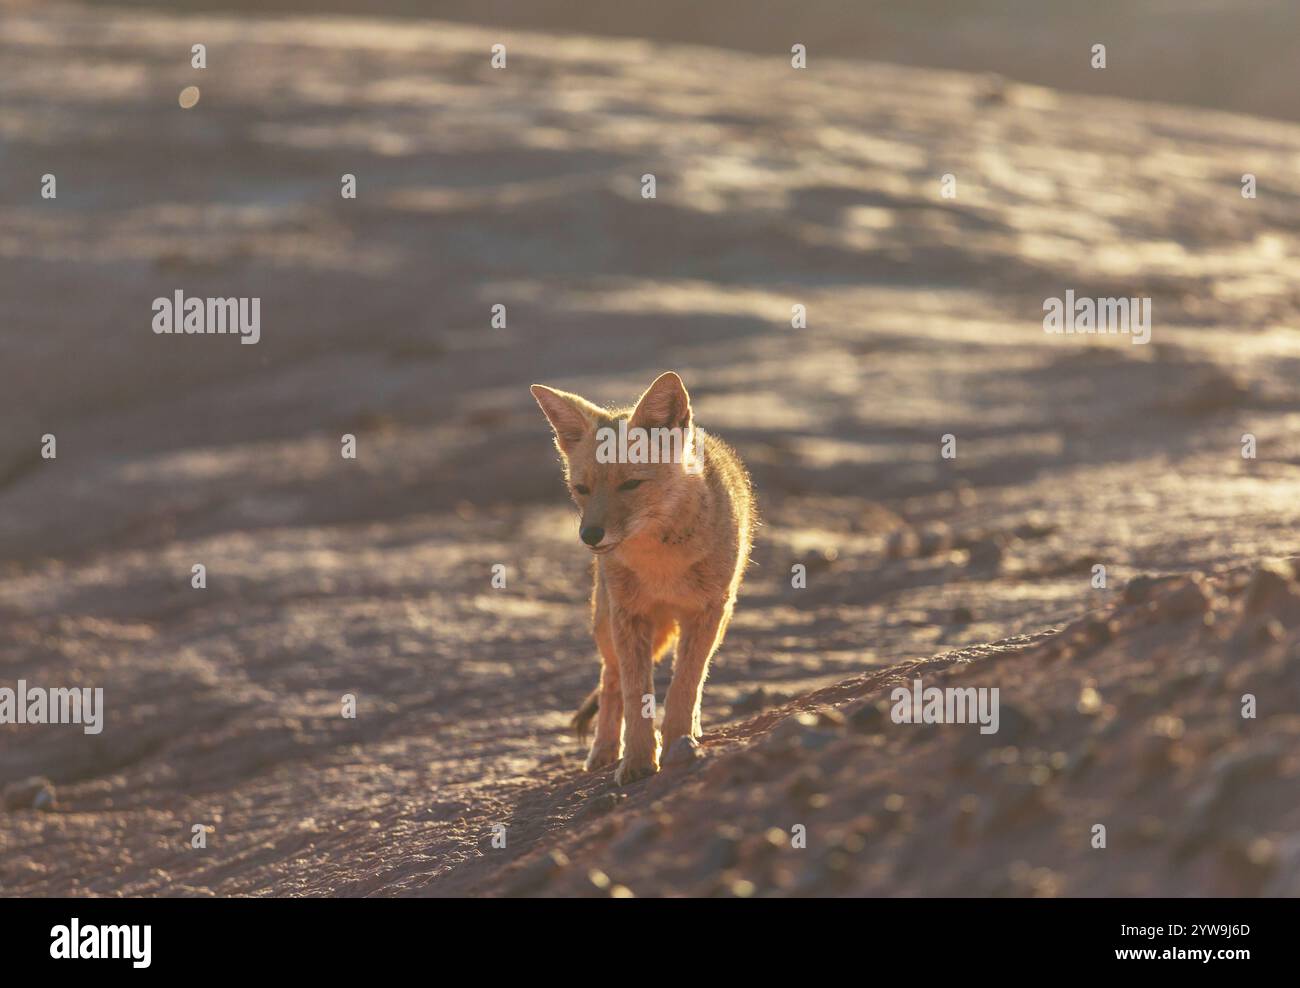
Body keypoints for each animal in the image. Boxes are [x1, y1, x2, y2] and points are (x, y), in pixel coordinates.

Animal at [530, 372, 755, 785]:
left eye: (630, 484)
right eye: (581, 489)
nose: (591, 535)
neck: (660, 563)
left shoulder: (707, 611)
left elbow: (686, 684)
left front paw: (678, 741)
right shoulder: (630, 615)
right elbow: (637, 696)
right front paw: (636, 759)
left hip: (714, 619)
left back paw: (691, 731)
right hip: (607, 624)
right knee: (610, 681)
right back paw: (603, 751)